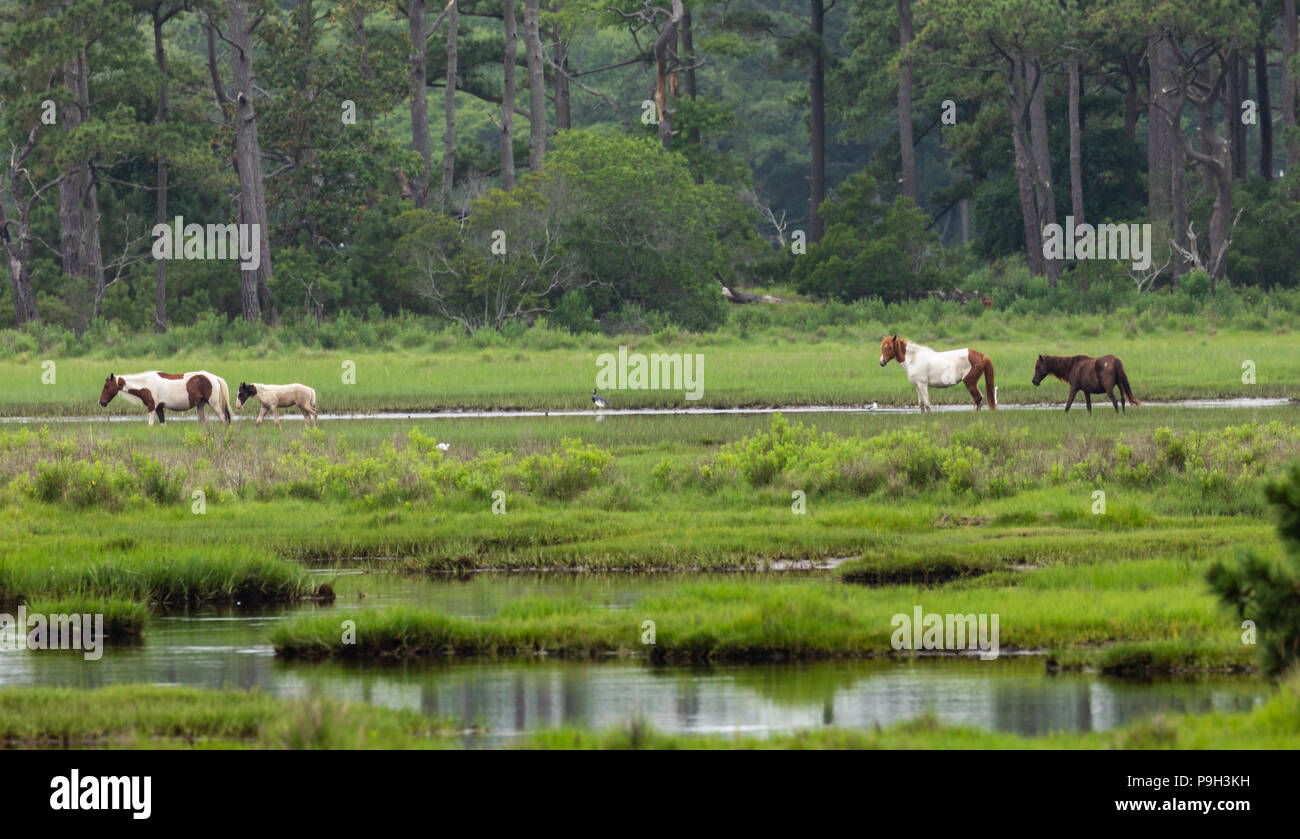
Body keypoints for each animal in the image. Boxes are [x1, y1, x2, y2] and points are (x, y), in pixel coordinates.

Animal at [99, 371, 233, 426]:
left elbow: (150, 424)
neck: (146, 383)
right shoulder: (159, 409)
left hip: (214, 404)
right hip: (200, 405)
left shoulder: (152, 407)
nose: (101, 402)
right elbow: (163, 424)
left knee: (223, 419)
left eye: (106, 386)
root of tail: (215, 378)